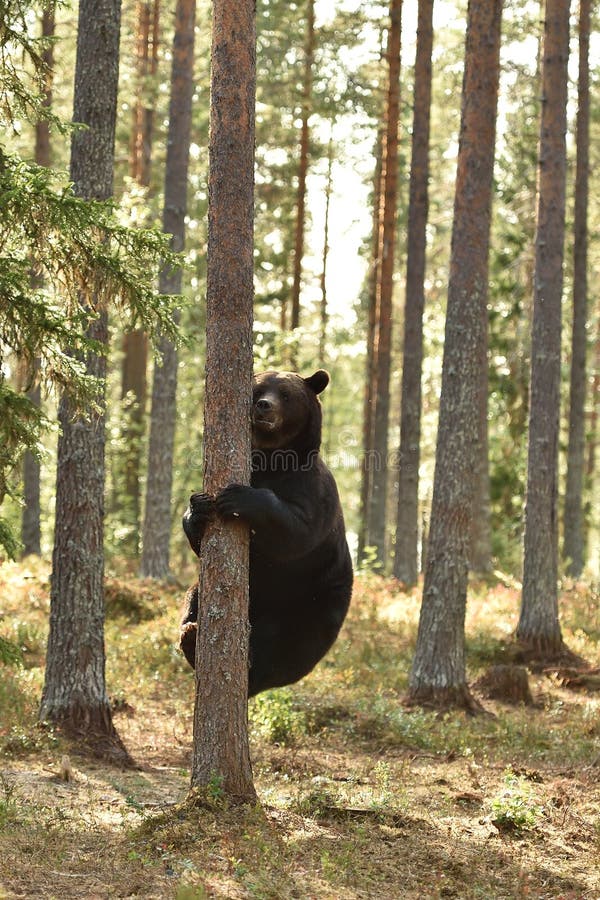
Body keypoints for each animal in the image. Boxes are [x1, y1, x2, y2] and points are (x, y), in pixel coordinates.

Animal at [180, 368, 353, 698]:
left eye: (285, 394)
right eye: (259, 388)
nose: (263, 406)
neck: (270, 458)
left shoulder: (312, 492)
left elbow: (296, 532)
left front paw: (237, 497)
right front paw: (199, 508)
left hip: (313, 601)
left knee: (288, 647)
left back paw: (249, 667)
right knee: (193, 598)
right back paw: (191, 635)